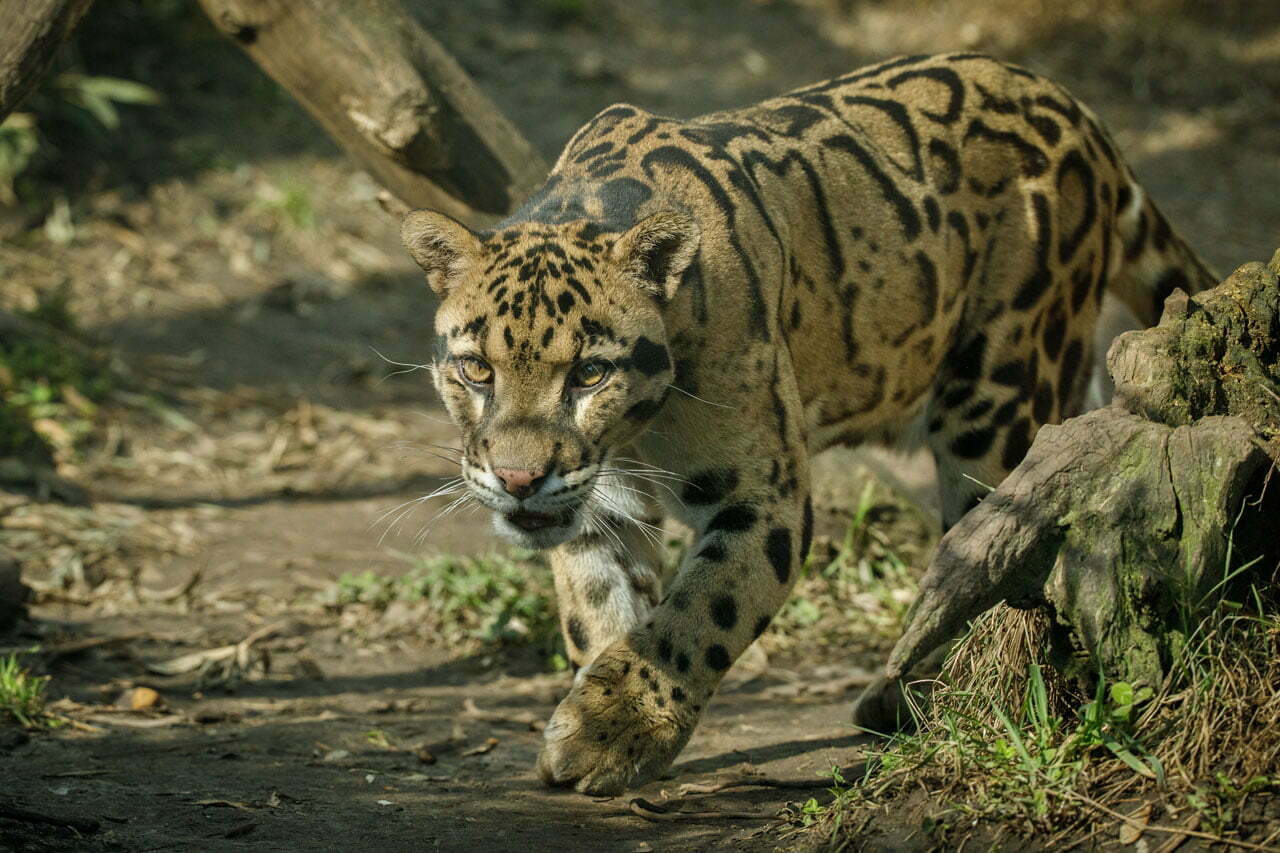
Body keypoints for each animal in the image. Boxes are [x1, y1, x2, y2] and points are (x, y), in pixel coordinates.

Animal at [400, 52, 1216, 796]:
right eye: (476, 369)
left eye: (589, 375)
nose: (518, 478)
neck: (634, 435)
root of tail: (1073, 107)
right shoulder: (601, 506)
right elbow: (600, 606)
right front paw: (602, 705)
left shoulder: (764, 495)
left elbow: (696, 617)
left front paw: (610, 730)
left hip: (999, 392)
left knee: (996, 549)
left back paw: (919, 693)